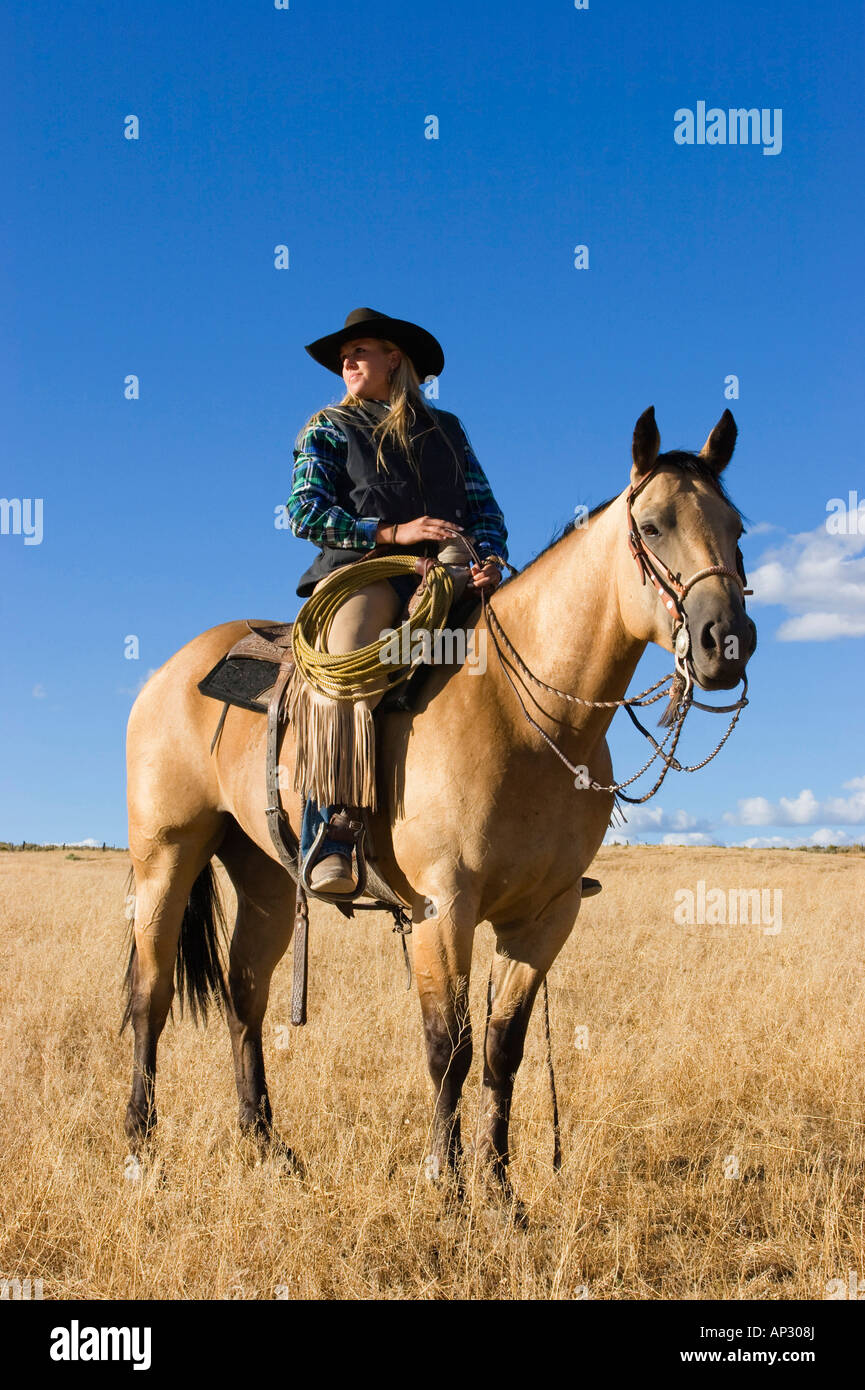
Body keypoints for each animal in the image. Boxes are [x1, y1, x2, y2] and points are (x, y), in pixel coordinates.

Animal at [123, 406, 756, 1196]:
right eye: (652, 525)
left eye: (737, 528)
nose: (724, 640)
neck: (526, 715)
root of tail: (172, 671)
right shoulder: (442, 908)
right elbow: (446, 1047)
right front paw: (447, 1187)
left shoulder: (547, 916)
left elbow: (502, 1049)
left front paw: (504, 1194)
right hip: (165, 855)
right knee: (150, 995)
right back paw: (141, 1149)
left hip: (264, 873)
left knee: (245, 995)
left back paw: (268, 1145)